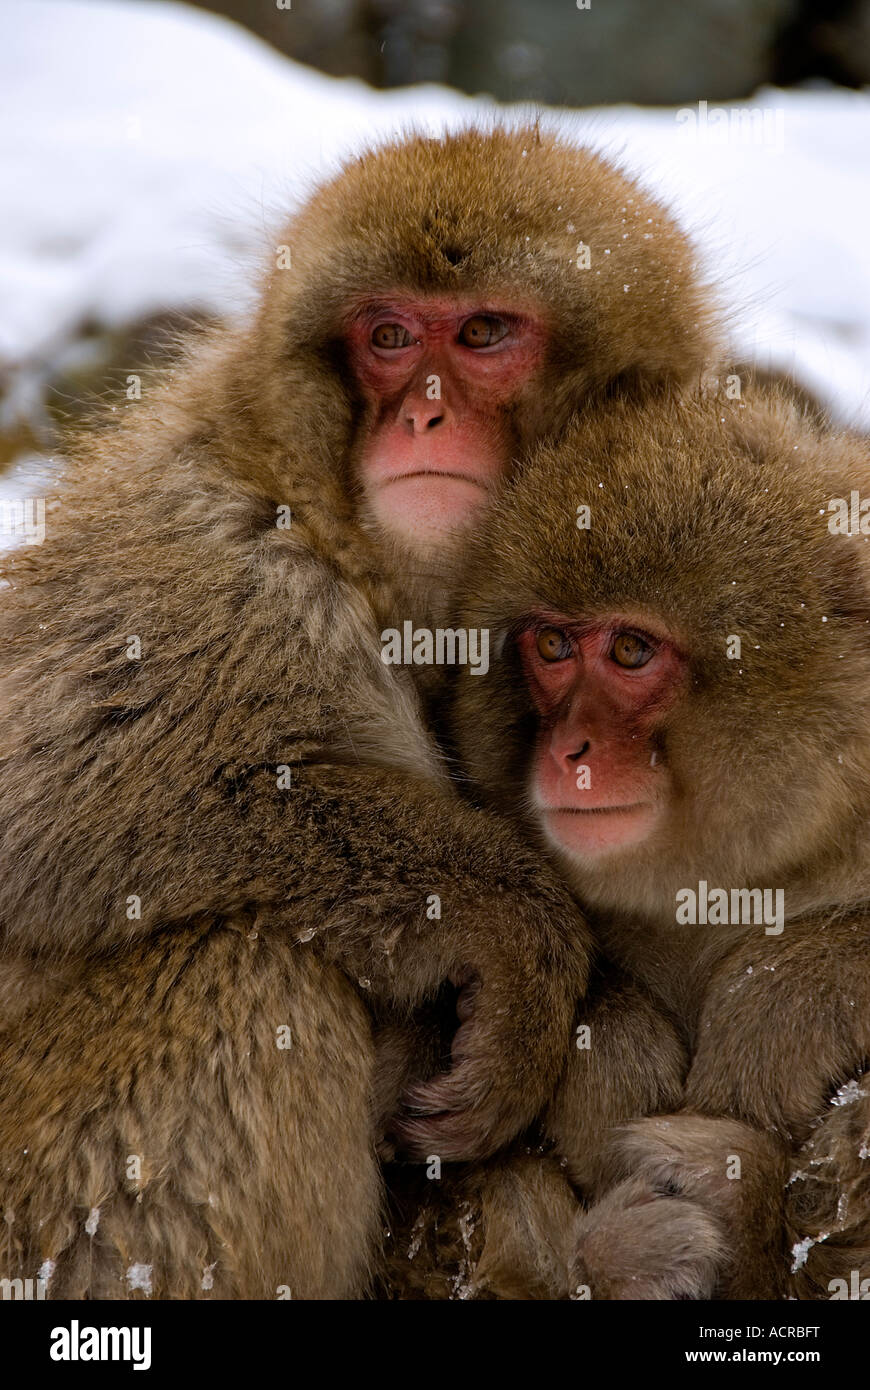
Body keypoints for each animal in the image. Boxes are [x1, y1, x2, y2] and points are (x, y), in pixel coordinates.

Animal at [0, 126, 716, 1299]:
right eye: (386, 336)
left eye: (482, 333)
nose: (422, 412)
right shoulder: (218, 550)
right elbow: (56, 806)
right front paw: (513, 927)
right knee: (248, 963)